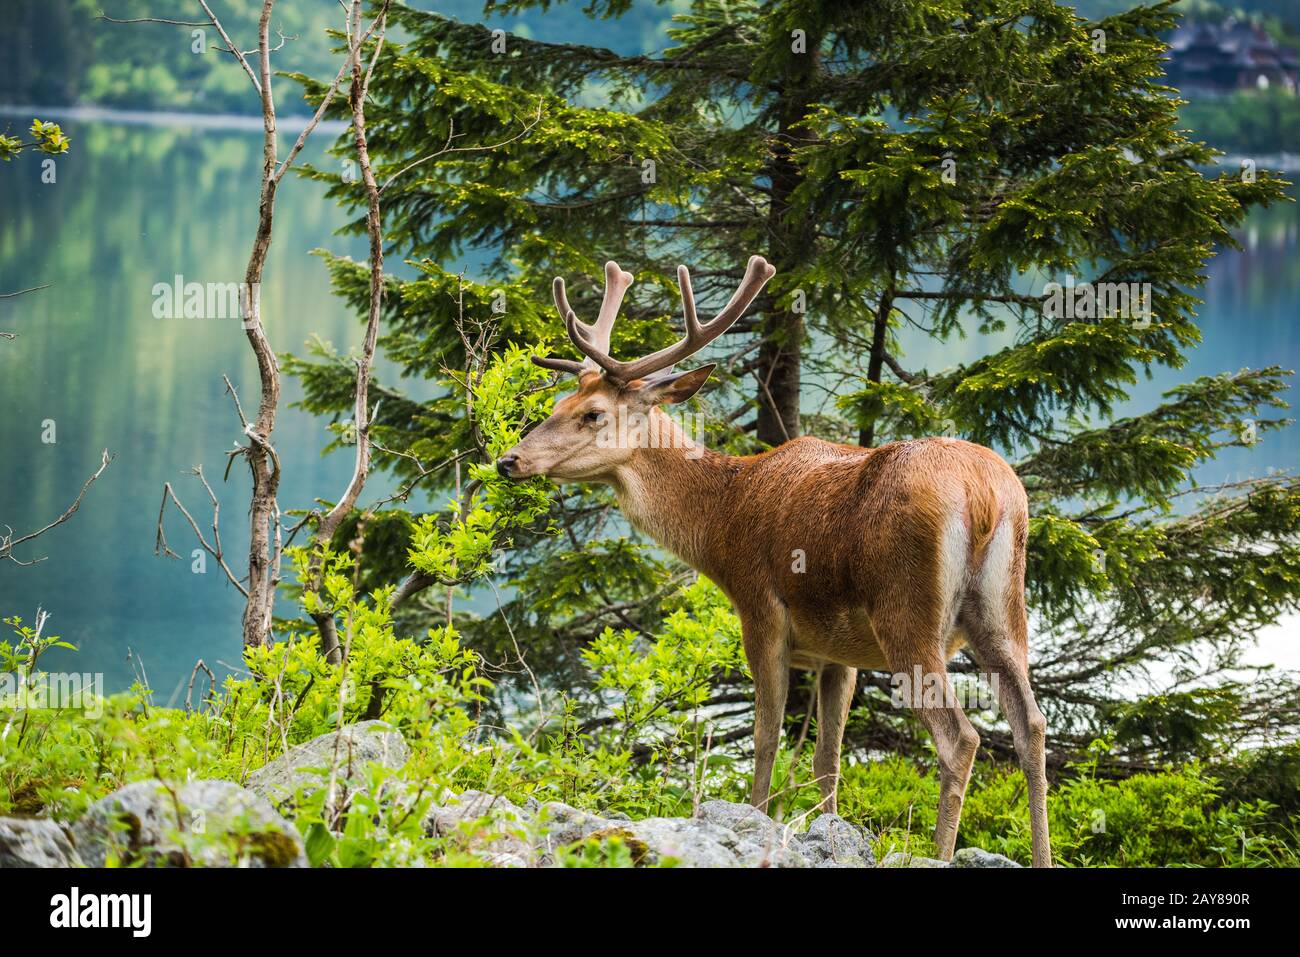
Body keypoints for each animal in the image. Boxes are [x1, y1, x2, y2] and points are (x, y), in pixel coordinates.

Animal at [496, 256, 1052, 867]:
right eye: (557, 405)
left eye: (593, 414)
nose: (508, 459)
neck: (720, 522)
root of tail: (984, 494)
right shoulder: (839, 653)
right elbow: (827, 757)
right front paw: (830, 828)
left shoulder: (759, 607)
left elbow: (767, 736)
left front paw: (756, 816)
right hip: (1004, 610)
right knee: (1030, 723)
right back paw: (1042, 854)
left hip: (908, 611)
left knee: (961, 737)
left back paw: (941, 850)